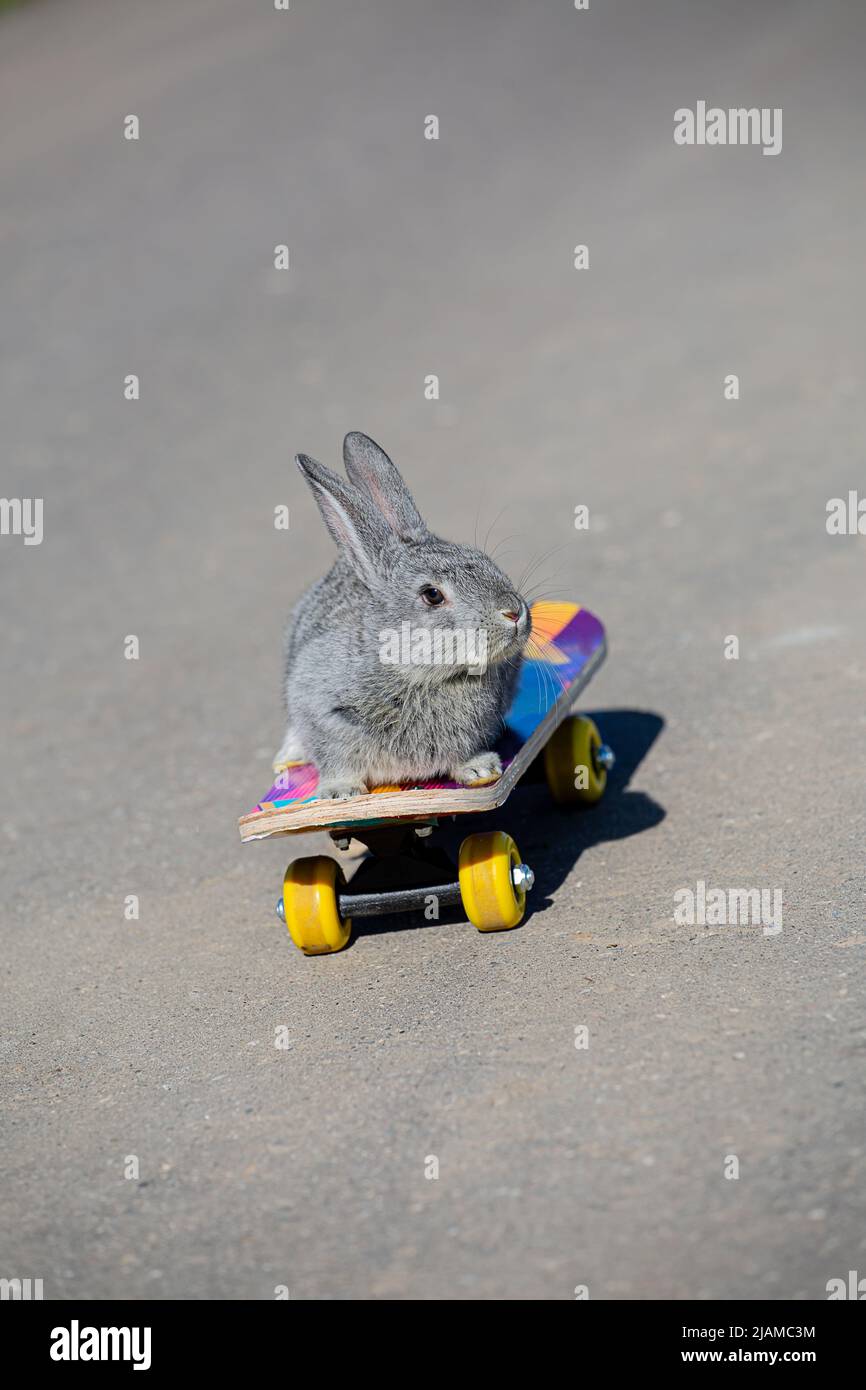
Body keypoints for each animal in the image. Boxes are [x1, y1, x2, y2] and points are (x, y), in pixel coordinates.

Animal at [273, 432, 531, 800]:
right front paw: (341, 792)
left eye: (483, 559)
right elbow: (334, 757)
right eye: (432, 595)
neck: (416, 673)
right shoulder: (320, 711)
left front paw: (480, 768)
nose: (514, 613)